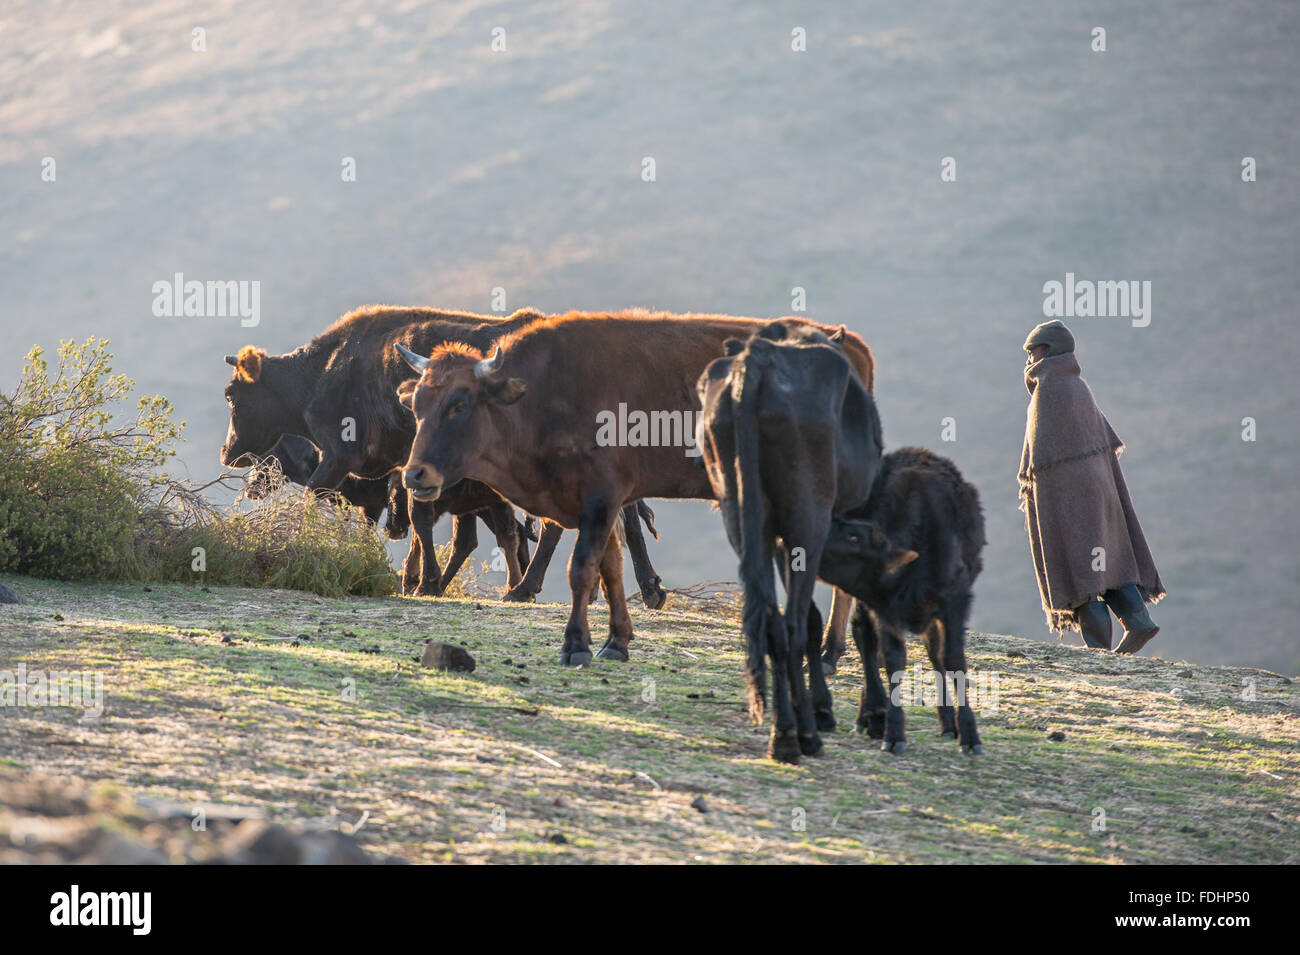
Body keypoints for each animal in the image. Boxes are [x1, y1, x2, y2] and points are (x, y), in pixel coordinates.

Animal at [218, 305, 665, 603]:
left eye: (231, 393)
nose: (227, 453)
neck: (321, 373)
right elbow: (415, 519)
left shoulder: (340, 458)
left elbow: (321, 500)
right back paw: (647, 589)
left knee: (556, 525)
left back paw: (524, 588)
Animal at [396, 309, 876, 683]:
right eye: (417, 405)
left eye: (459, 404)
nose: (415, 474)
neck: (545, 393)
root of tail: (848, 345)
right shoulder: (603, 503)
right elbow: (611, 568)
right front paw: (616, 642)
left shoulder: (600, 497)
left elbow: (582, 569)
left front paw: (576, 645)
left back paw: (828, 654)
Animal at [694, 321, 883, 762]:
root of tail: (757, 360)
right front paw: (867, 714)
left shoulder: (781, 541)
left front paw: (820, 707)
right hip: (807, 518)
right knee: (792, 622)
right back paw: (802, 736)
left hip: (744, 518)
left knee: (773, 622)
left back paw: (784, 732)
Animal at [817, 447, 987, 755]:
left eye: (854, 537)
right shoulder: (885, 609)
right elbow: (892, 659)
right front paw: (893, 734)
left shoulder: (954, 602)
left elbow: (952, 659)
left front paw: (970, 736)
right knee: (866, 639)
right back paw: (870, 715)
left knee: (934, 655)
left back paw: (947, 723)